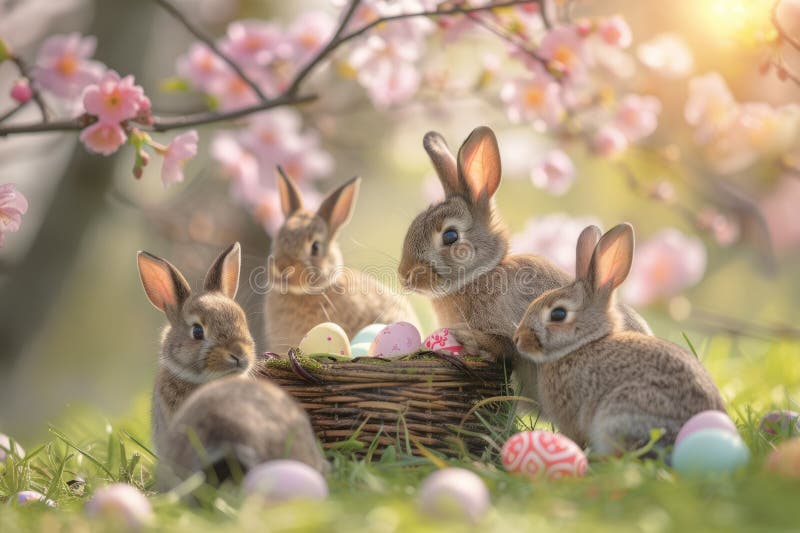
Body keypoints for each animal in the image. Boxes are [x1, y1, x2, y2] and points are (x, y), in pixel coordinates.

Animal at [513, 223, 726, 456]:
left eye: (558, 314)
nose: (518, 340)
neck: (582, 345)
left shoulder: (571, 415)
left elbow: (574, 437)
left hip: (620, 414)